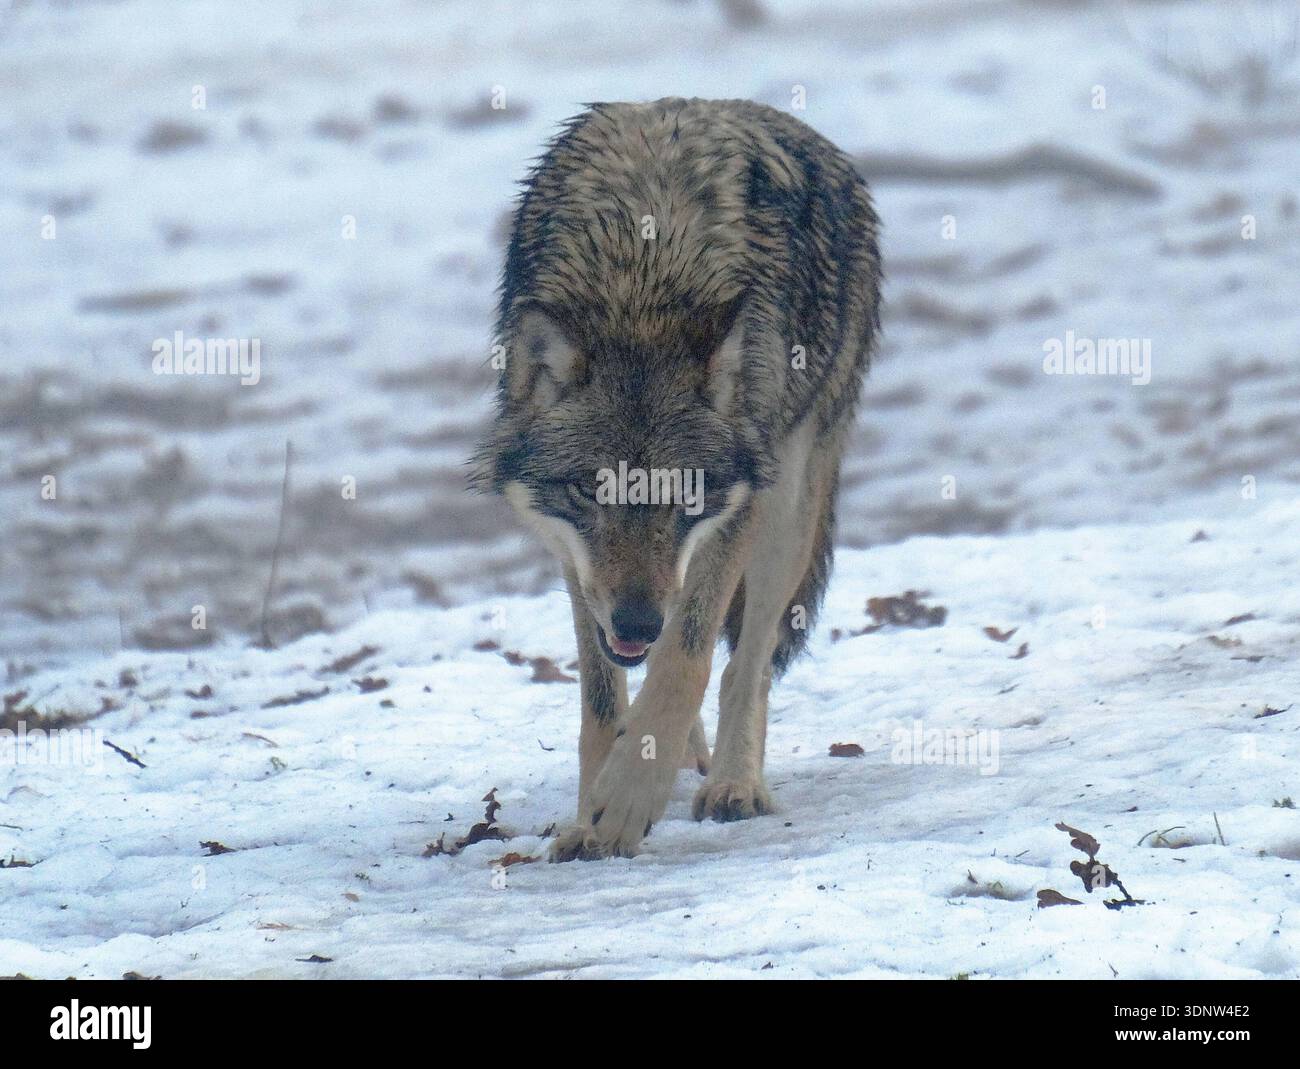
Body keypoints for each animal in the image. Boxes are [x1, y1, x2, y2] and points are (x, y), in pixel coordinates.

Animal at [472, 98, 881, 859]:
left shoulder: (738, 504)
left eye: (684, 492)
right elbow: (601, 697)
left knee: (745, 662)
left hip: (789, 505)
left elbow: (688, 658)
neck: (640, 281)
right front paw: (591, 814)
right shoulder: (575, 554)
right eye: (589, 490)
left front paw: (631, 793)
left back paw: (733, 784)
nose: (636, 618)